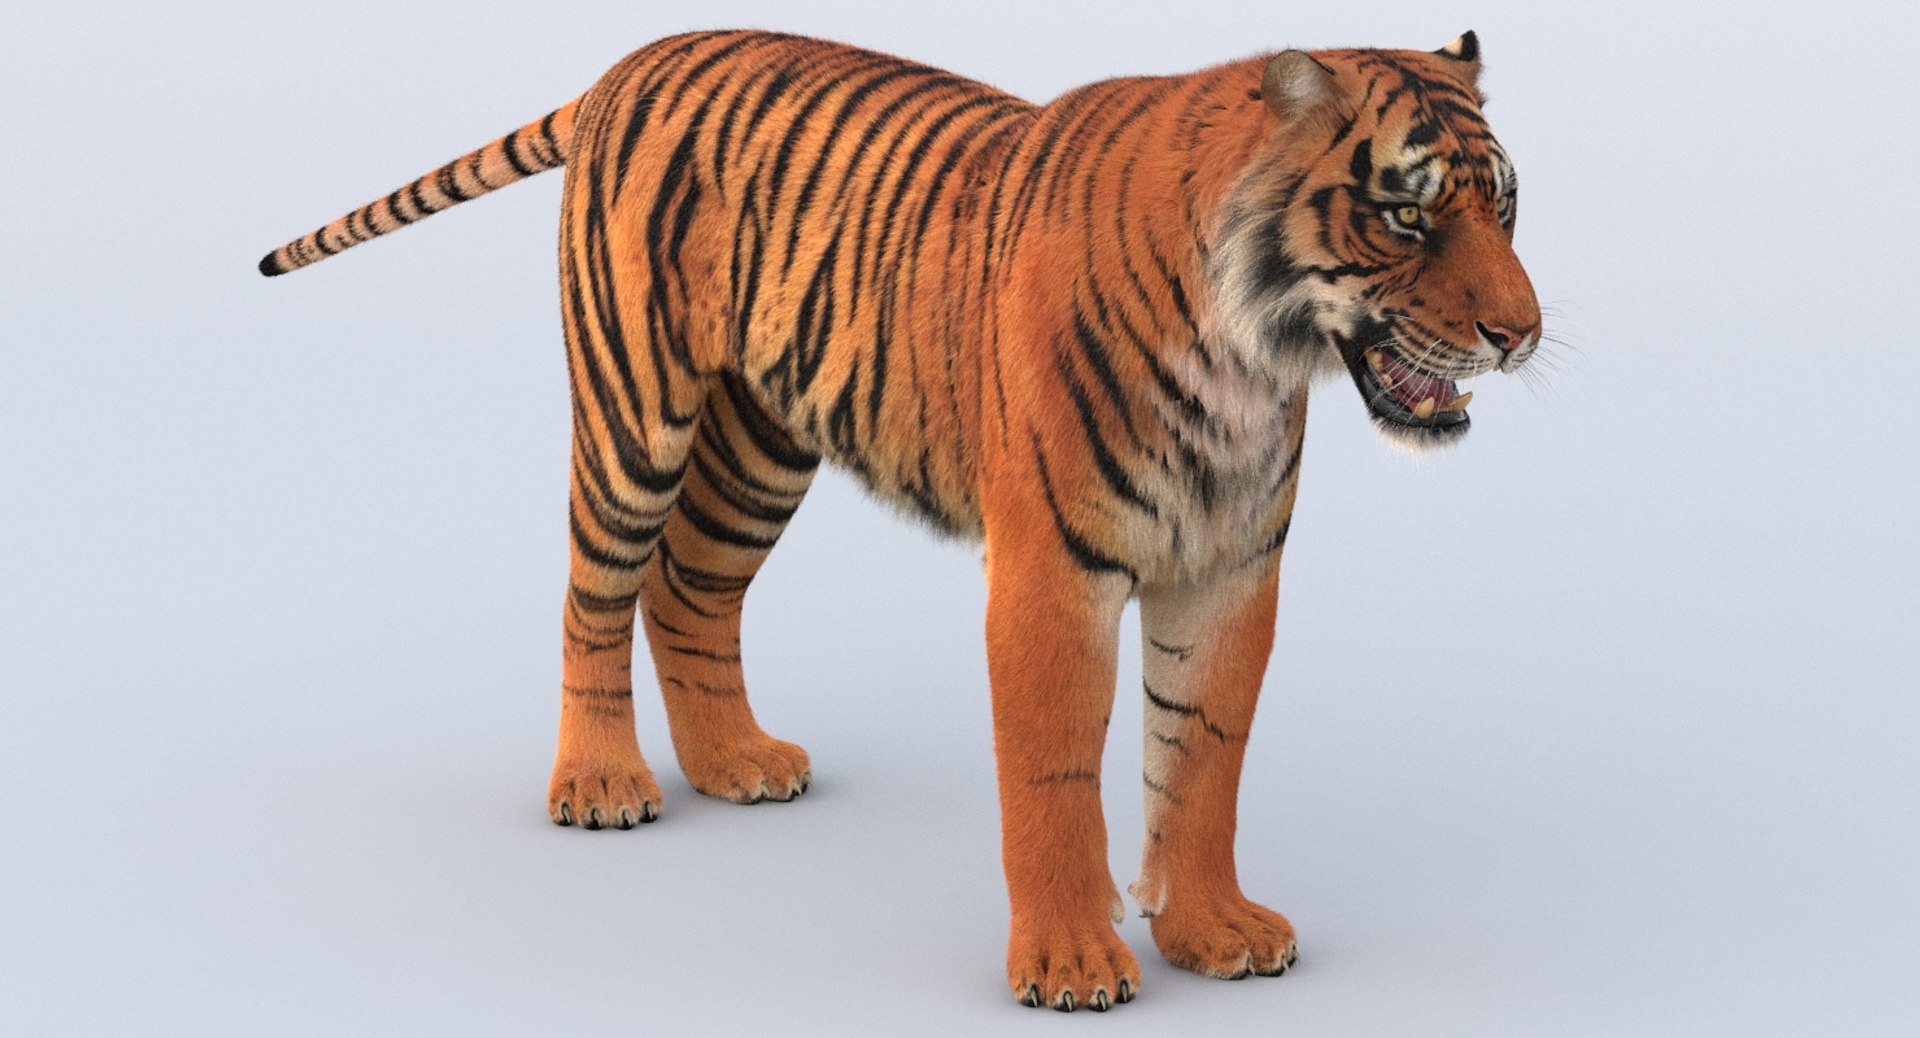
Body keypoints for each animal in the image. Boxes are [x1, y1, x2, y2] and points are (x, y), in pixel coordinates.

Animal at [259, 28, 1541, 1012]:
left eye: (1509, 208)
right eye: (1406, 218)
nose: (1520, 333)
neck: (1250, 362)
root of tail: (631, 60)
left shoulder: (1229, 572)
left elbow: (1203, 759)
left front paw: (1211, 929)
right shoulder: (1053, 575)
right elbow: (1054, 774)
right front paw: (1072, 965)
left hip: (761, 445)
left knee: (688, 587)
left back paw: (734, 763)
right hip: (636, 413)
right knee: (596, 591)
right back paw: (601, 783)